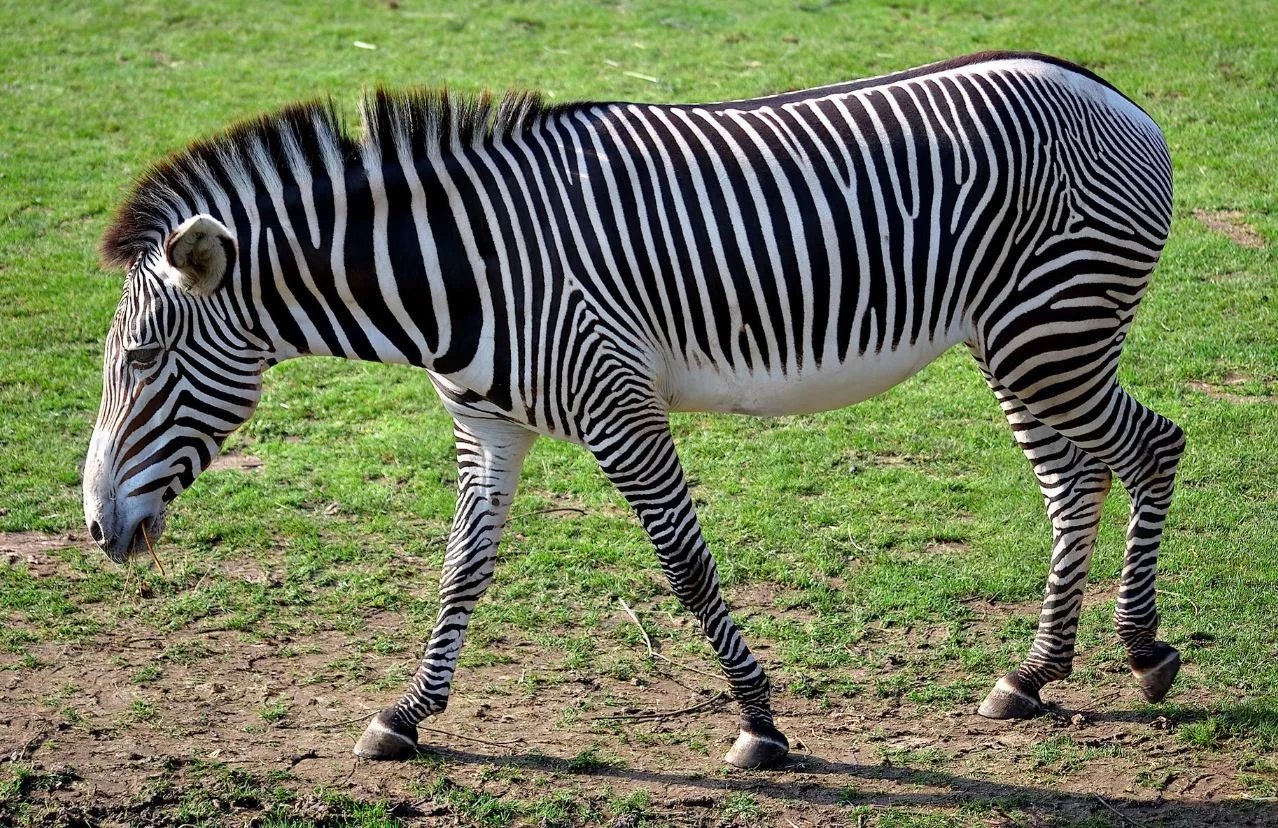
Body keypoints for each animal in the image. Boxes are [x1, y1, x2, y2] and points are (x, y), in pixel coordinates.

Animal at [83, 51, 1185, 769]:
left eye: (140, 358)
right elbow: (460, 570)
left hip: (1052, 331)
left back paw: (1144, 652)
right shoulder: (487, 425)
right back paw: (1033, 675)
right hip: (1018, 342)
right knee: (1075, 480)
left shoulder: (620, 409)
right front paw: (407, 715)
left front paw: (759, 722)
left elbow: (686, 566)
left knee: (1153, 447)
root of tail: (1113, 95)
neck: (458, 275)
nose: (95, 529)